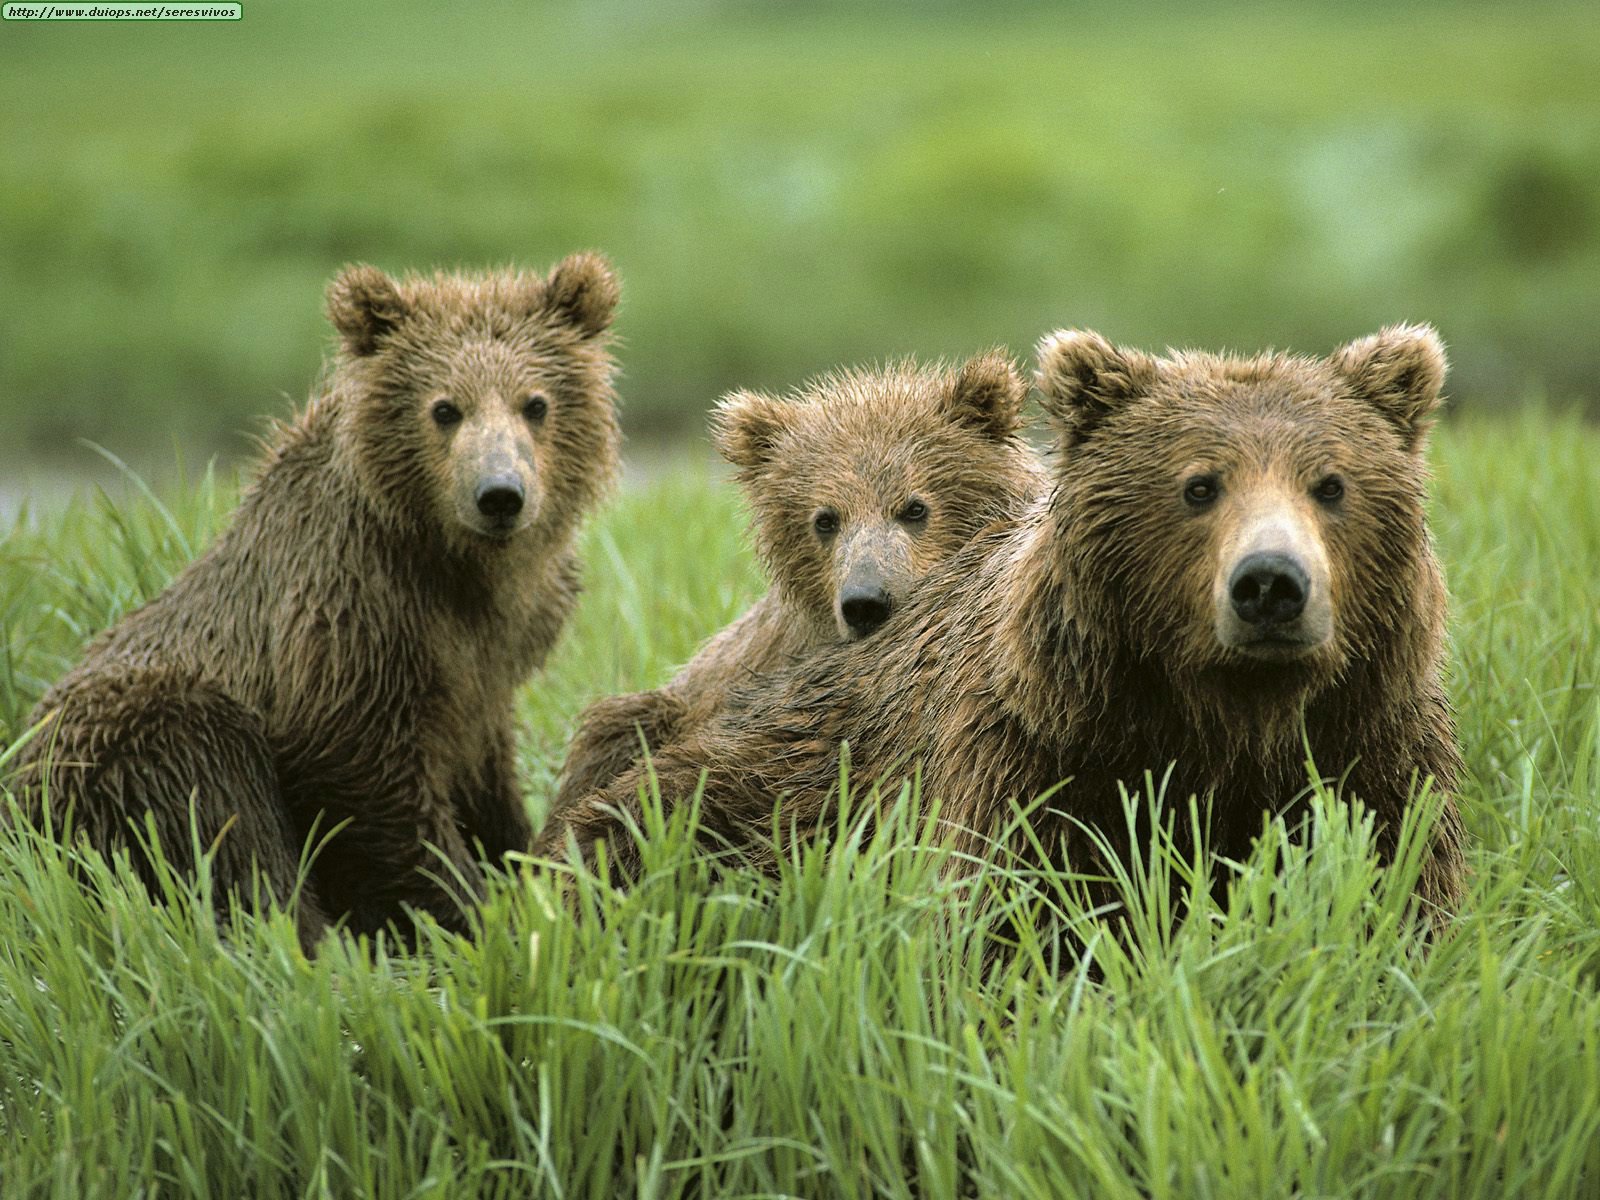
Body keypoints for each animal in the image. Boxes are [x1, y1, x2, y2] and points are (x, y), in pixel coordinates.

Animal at [9, 254, 621, 948]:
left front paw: (518, 859)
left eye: (535, 402)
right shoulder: (350, 616)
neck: (456, 567)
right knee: (220, 820)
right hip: (136, 739)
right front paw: (472, 910)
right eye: (444, 408)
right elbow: (368, 784)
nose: (499, 494)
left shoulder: (490, 659)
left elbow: (486, 773)